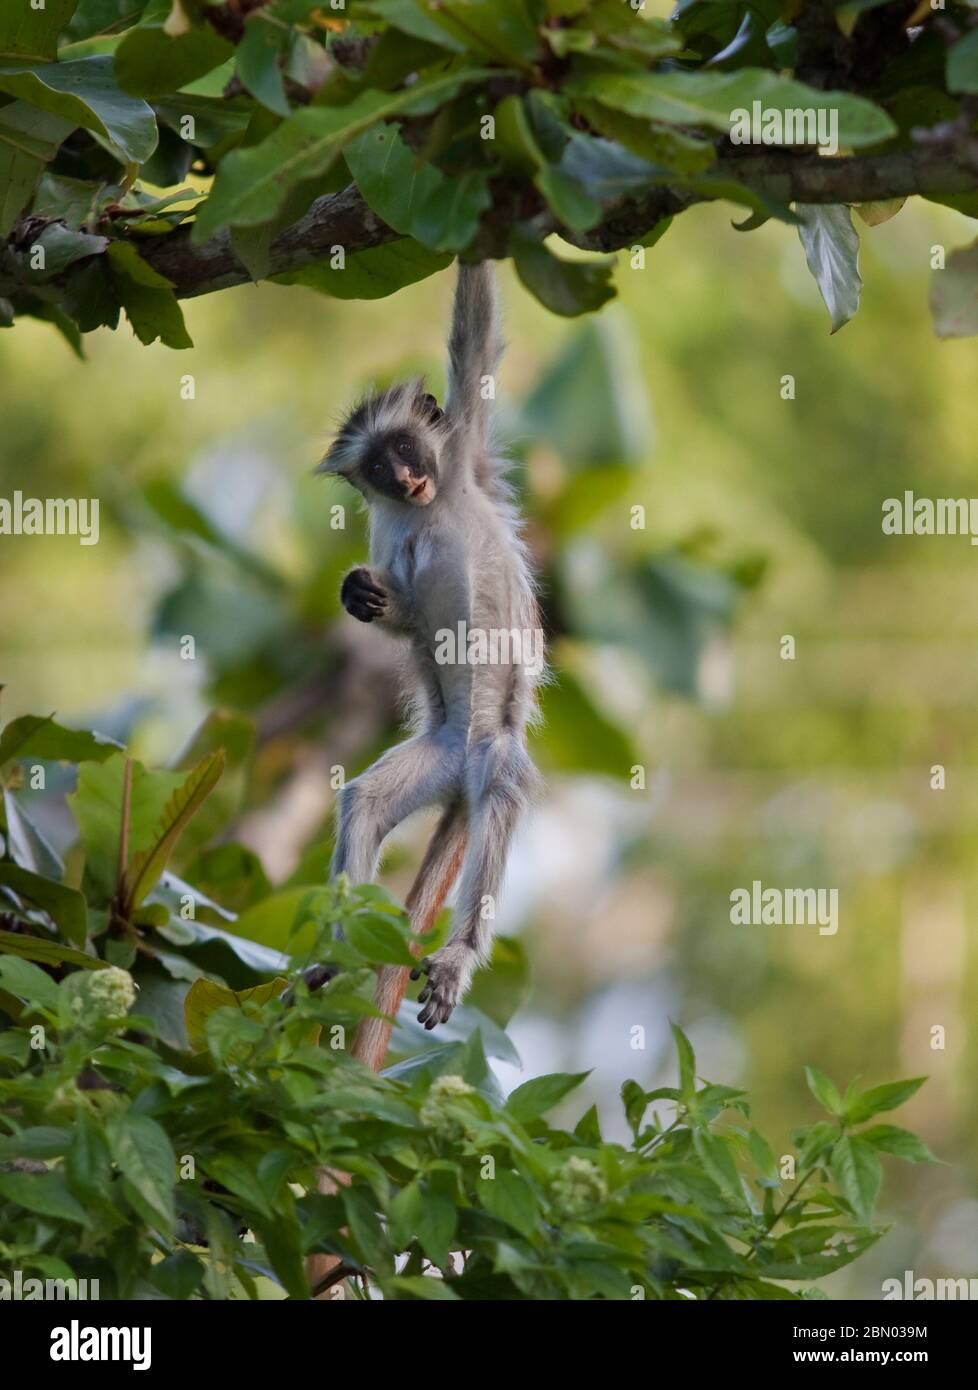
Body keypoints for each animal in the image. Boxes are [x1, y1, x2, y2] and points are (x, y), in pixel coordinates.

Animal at [318, 260, 543, 1029]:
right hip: (437, 756)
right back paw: (337, 955)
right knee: (362, 803)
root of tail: (461, 760)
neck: (433, 504)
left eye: (405, 448)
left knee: (500, 797)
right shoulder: (391, 530)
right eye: (379, 471)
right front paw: (364, 598)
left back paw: (456, 956)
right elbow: (407, 614)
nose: (407, 477)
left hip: (492, 749)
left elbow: (474, 338)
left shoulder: (467, 451)